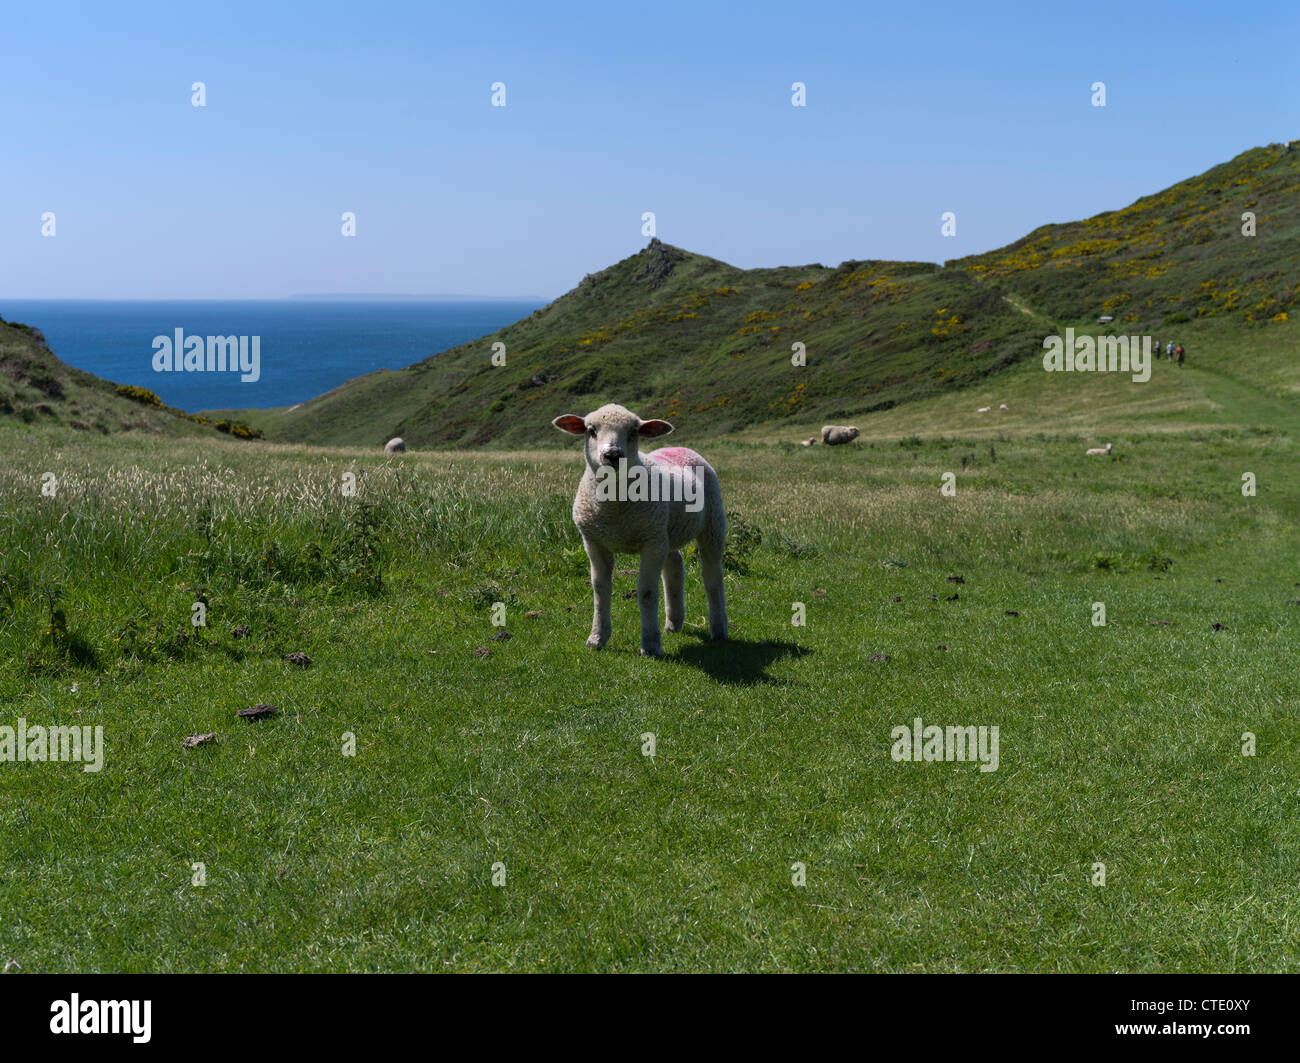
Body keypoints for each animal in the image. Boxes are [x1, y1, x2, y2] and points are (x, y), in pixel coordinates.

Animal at [553, 404, 727, 657]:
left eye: (634, 432)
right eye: (591, 431)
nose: (612, 455)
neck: (614, 508)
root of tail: (680, 447)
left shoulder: (651, 543)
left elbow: (646, 592)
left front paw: (650, 644)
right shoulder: (594, 541)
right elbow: (600, 589)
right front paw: (597, 638)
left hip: (711, 525)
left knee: (712, 578)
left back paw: (719, 630)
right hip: (664, 530)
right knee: (675, 565)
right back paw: (673, 623)